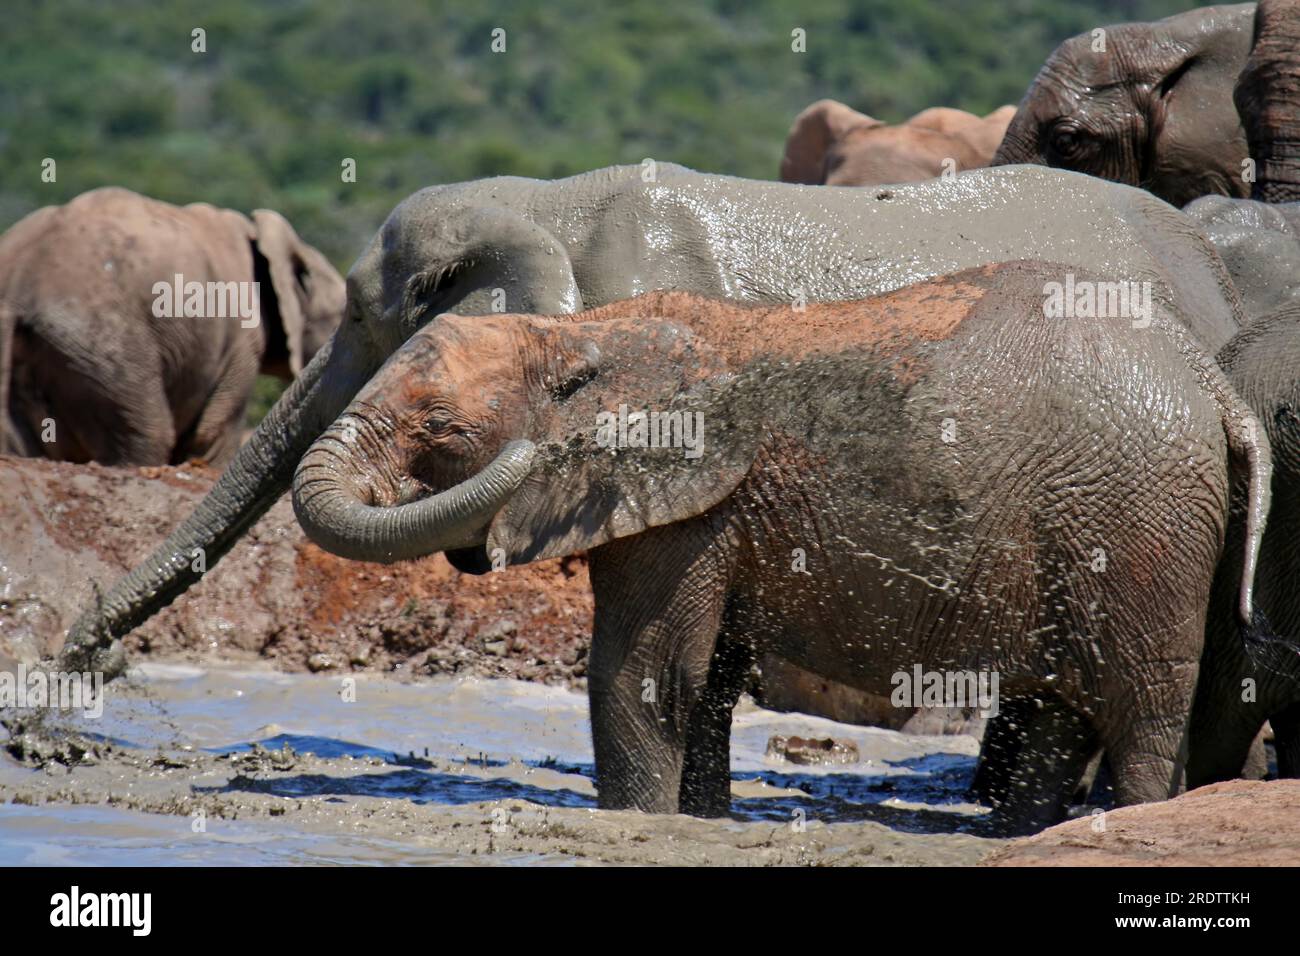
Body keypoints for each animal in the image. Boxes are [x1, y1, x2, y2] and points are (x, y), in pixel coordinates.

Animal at [0, 187, 345, 466]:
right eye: (343, 312)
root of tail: (16, 290)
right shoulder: (242, 339)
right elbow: (210, 433)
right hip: (98, 342)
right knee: (147, 435)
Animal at [287, 263, 1270, 830]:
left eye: (438, 426)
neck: (584, 333)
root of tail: (1213, 382)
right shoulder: (712, 515)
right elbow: (710, 678)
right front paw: (700, 826)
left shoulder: (684, 503)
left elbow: (645, 671)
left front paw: (636, 825)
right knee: (1055, 712)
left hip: (1144, 529)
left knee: (1141, 711)